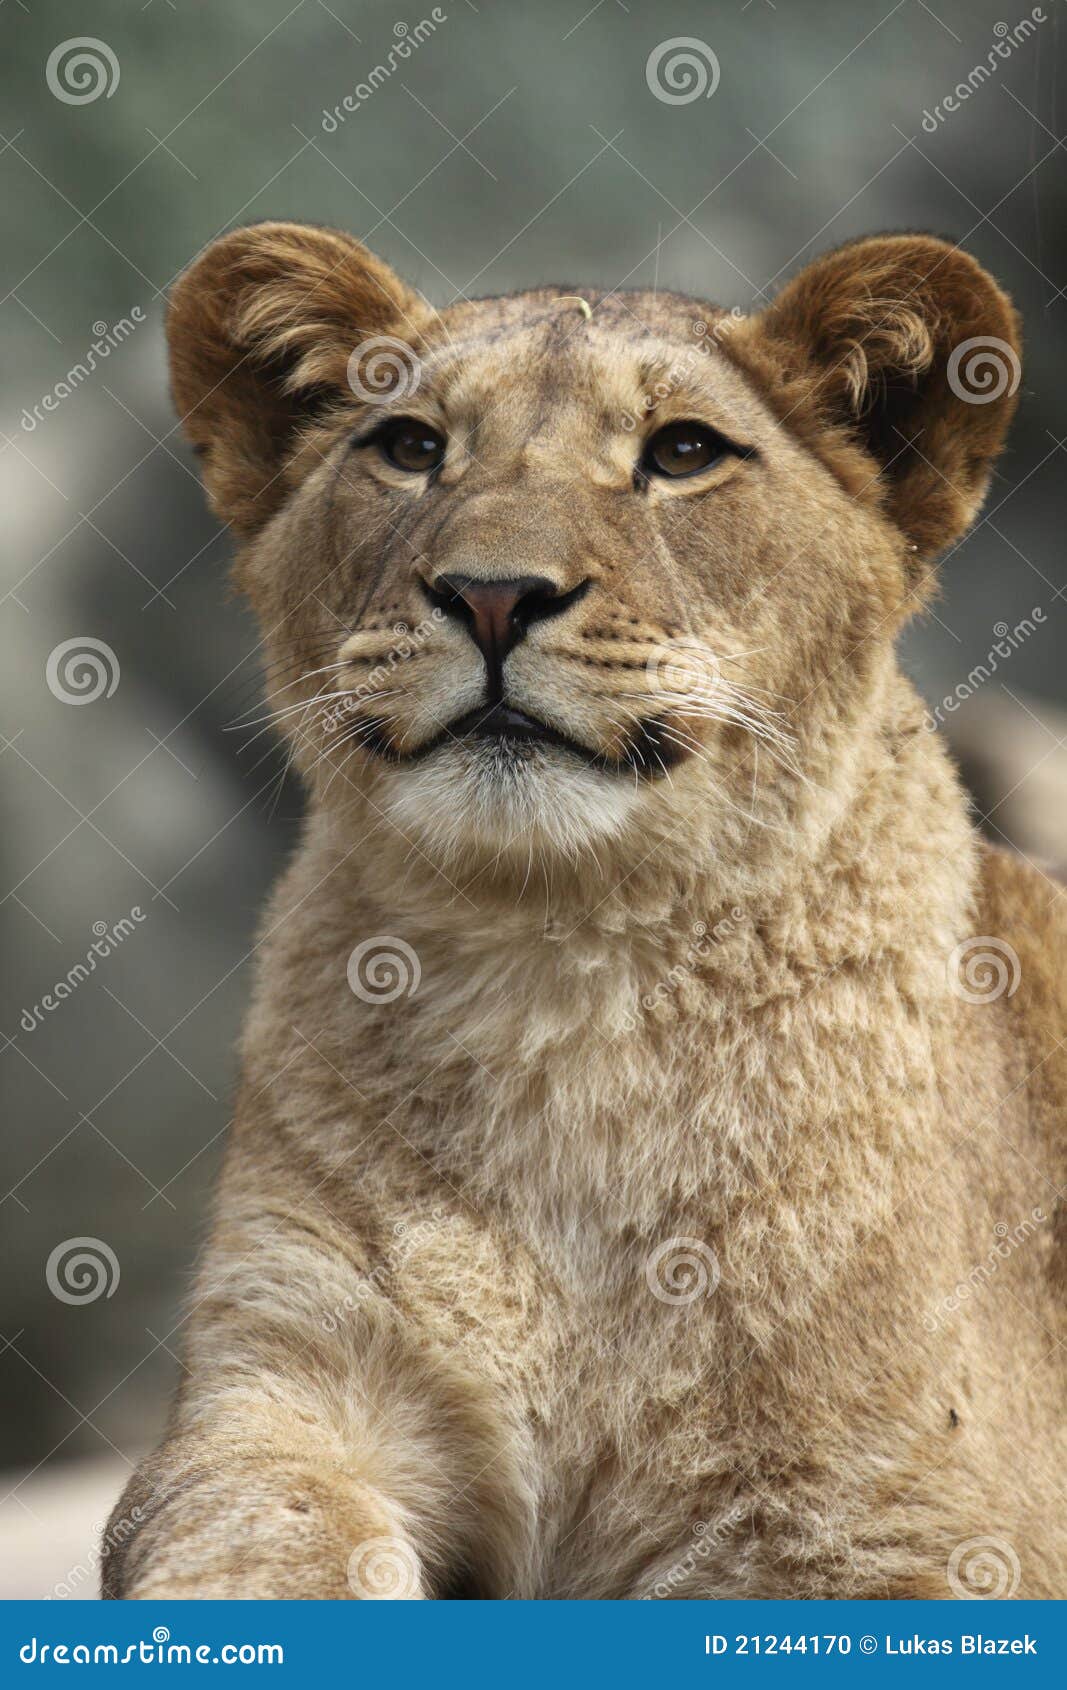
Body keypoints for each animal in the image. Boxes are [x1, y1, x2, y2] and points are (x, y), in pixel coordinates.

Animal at [103, 223, 1065, 1600]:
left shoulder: (898, 1528)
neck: (560, 974)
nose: (492, 595)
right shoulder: (276, 1392)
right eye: (410, 446)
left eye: (682, 453)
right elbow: (258, 1550)